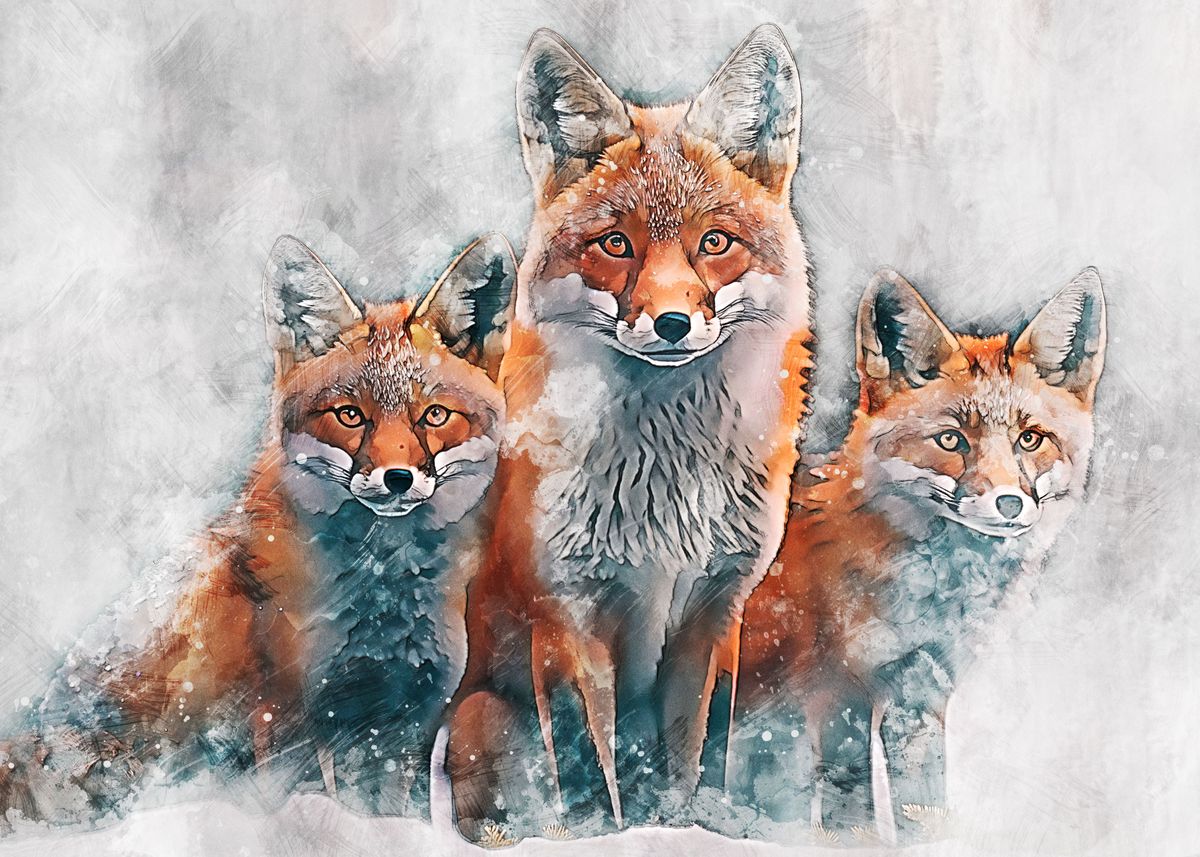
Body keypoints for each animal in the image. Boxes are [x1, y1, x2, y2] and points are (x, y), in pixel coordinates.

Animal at [0, 233, 516, 829]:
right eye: (350, 416)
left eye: (434, 416)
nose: (397, 478)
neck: (381, 599)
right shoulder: (287, 717)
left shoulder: (404, 721)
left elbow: (397, 816)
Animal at [446, 25, 813, 838]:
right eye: (616, 245)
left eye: (715, 243)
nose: (672, 323)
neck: (665, 482)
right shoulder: (566, 613)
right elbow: (589, 761)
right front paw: (602, 835)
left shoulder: (716, 609)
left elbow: (697, 753)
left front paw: (685, 825)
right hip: (485, 719)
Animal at [726, 268, 1107, 841]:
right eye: (950, 440)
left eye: (1030, 439)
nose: (1010, 503)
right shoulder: (833, 693)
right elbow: (848, 810)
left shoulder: (921, 691)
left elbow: (918, 807)